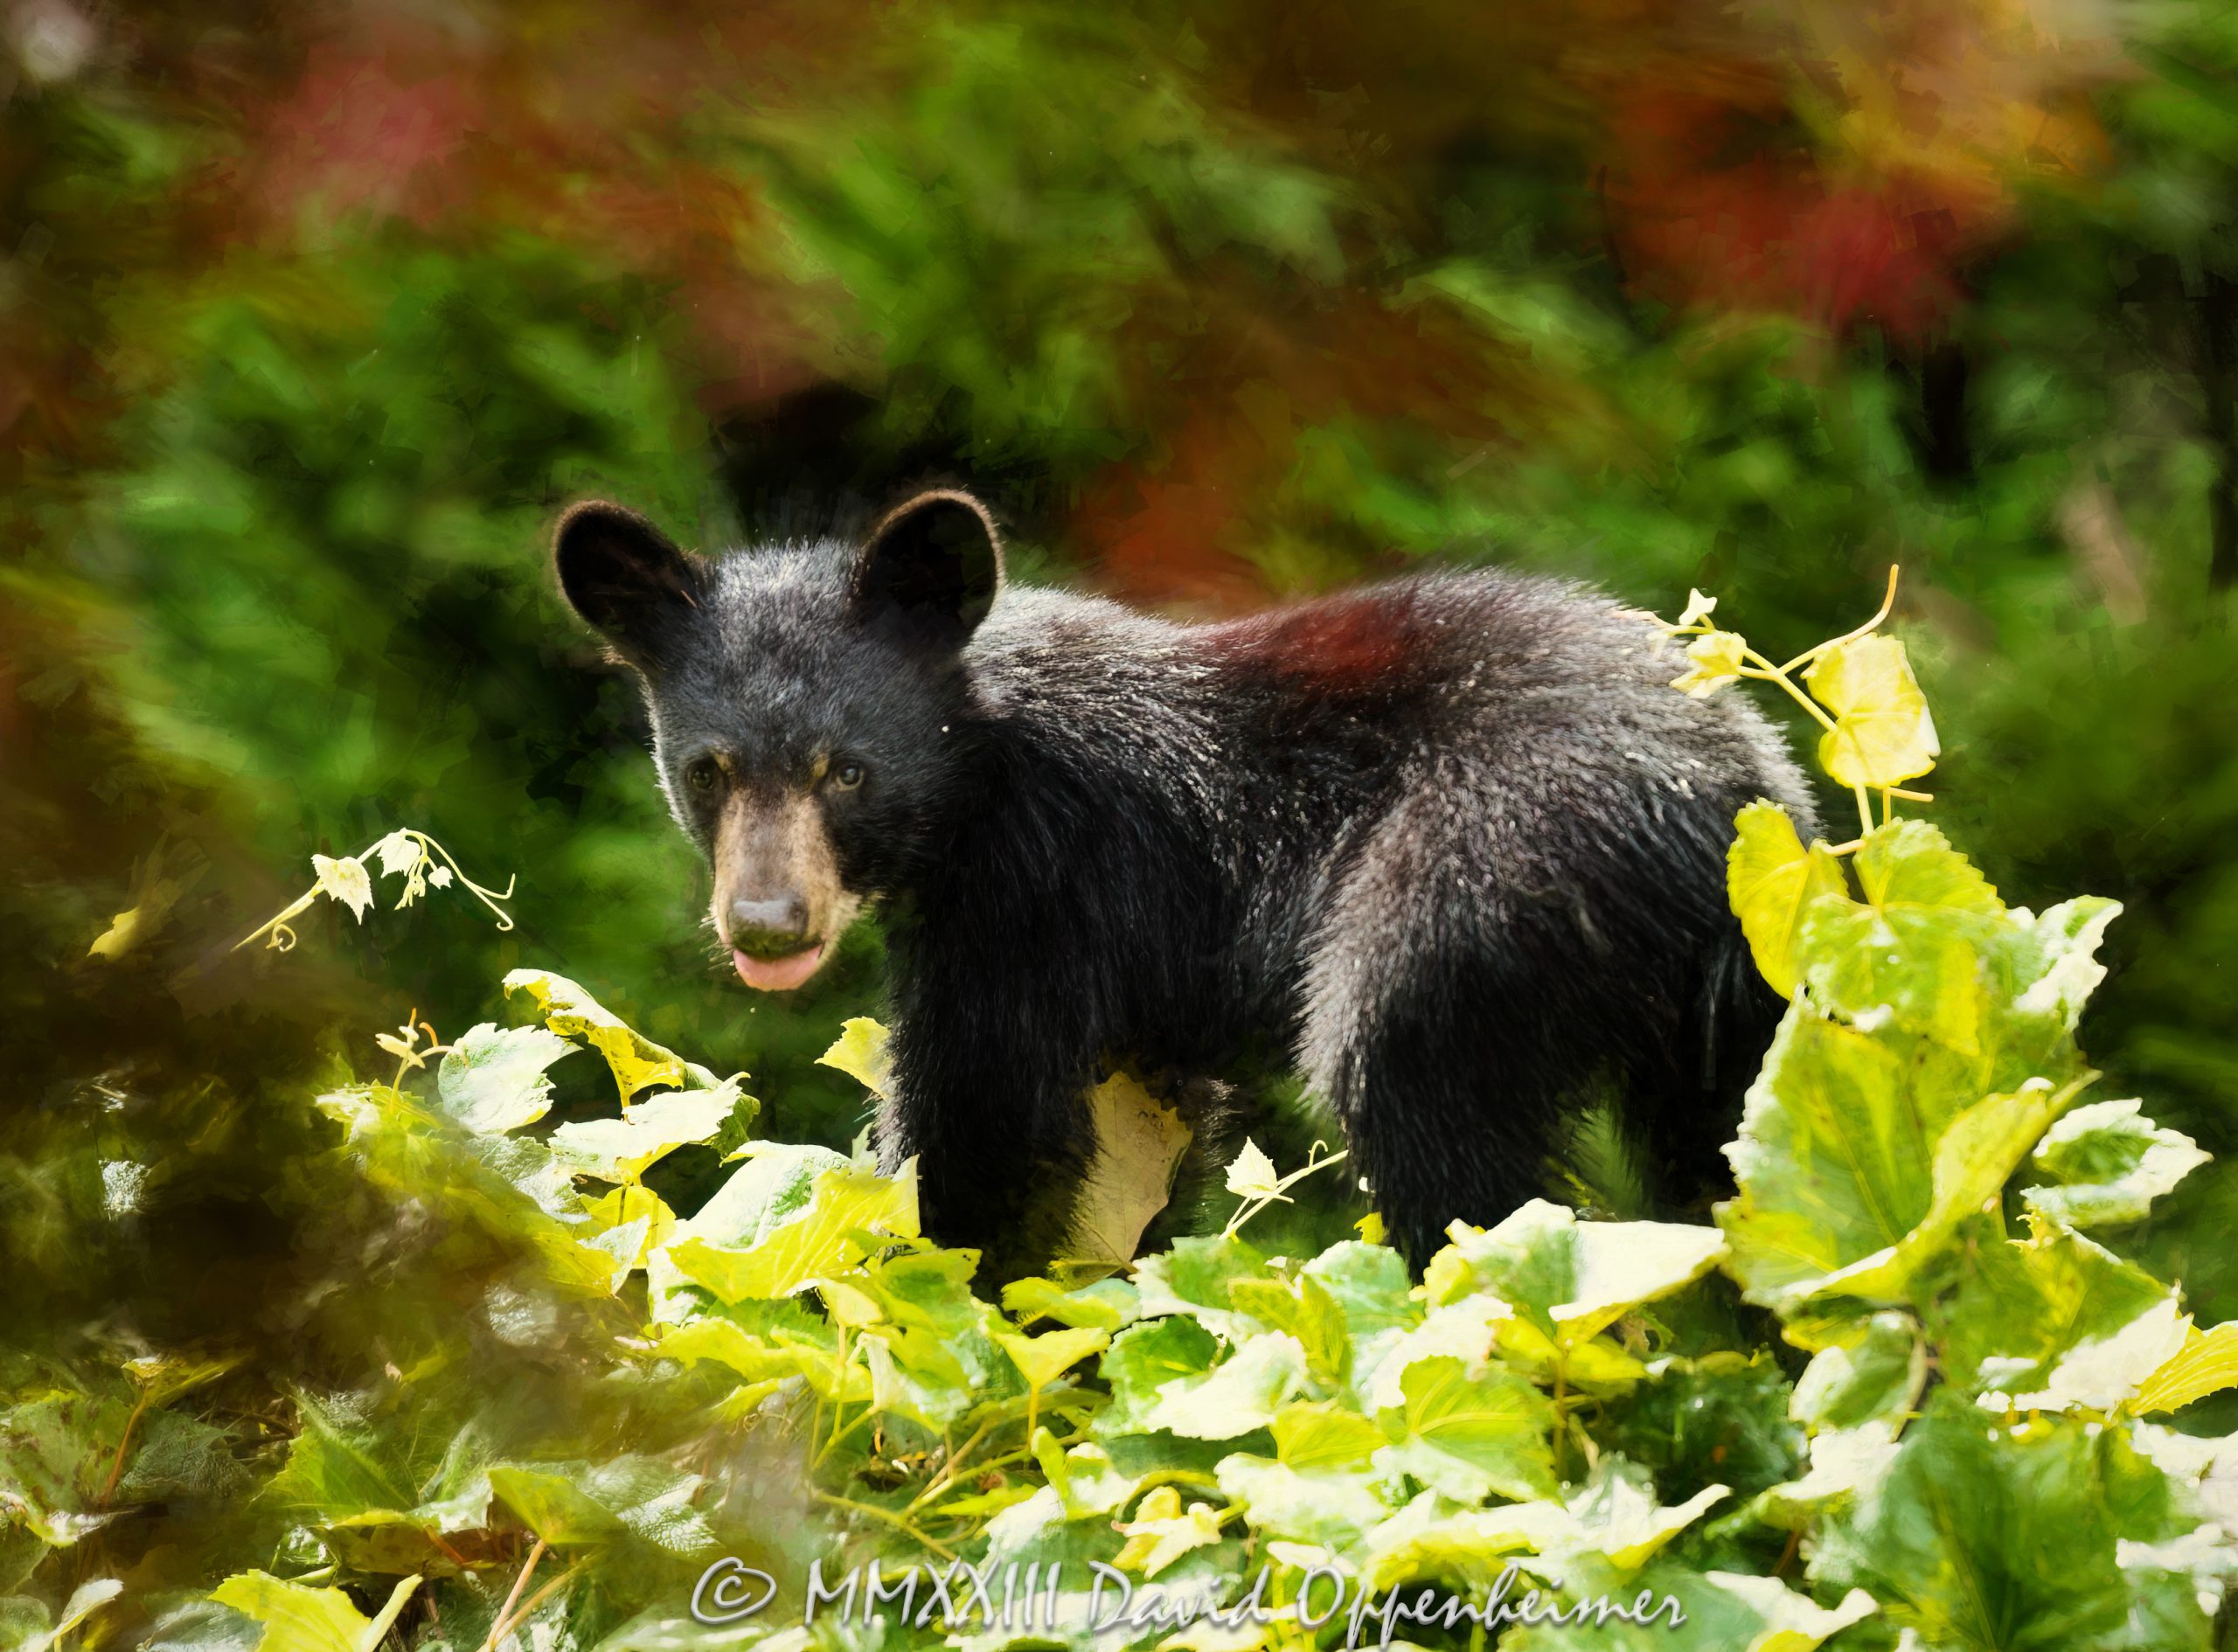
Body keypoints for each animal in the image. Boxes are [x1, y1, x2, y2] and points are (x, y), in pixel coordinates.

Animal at [553, 488, 1816, 1270]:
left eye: (846, 770)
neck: (976, 768)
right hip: (1746, 1007)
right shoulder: (1129, 992)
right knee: (1735, 1171)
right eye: (710, 770)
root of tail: (1731, 795)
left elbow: (977, 1126)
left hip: (1486, 873)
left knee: (1420, 1097)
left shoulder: (1035, 889)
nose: (768, 925)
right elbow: (1126, 1149)